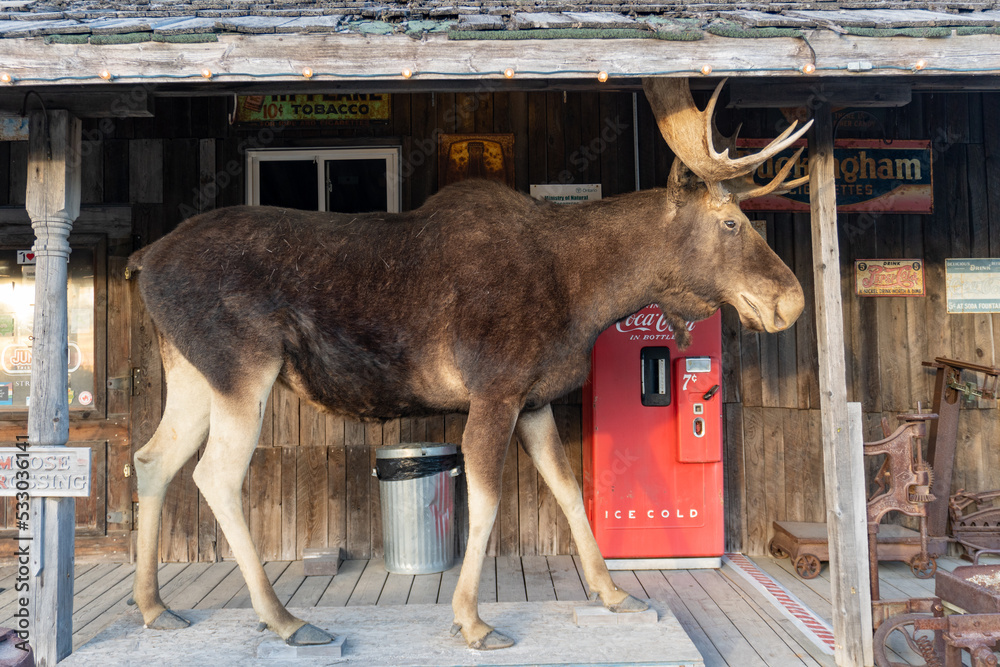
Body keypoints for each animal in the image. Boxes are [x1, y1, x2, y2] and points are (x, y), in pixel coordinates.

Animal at [126, 77, 811, 650]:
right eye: (731, 222)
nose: (793, 300)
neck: (586, 293)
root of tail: (142, 261)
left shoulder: (534, 400)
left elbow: (569, 491)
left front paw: (614, 593)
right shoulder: (495, 391)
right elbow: (486, 502)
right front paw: (473, 620)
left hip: (194, 374)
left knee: (153, 458)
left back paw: (155, 607)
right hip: (244, 367)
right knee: (215, 475)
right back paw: (286, 620)